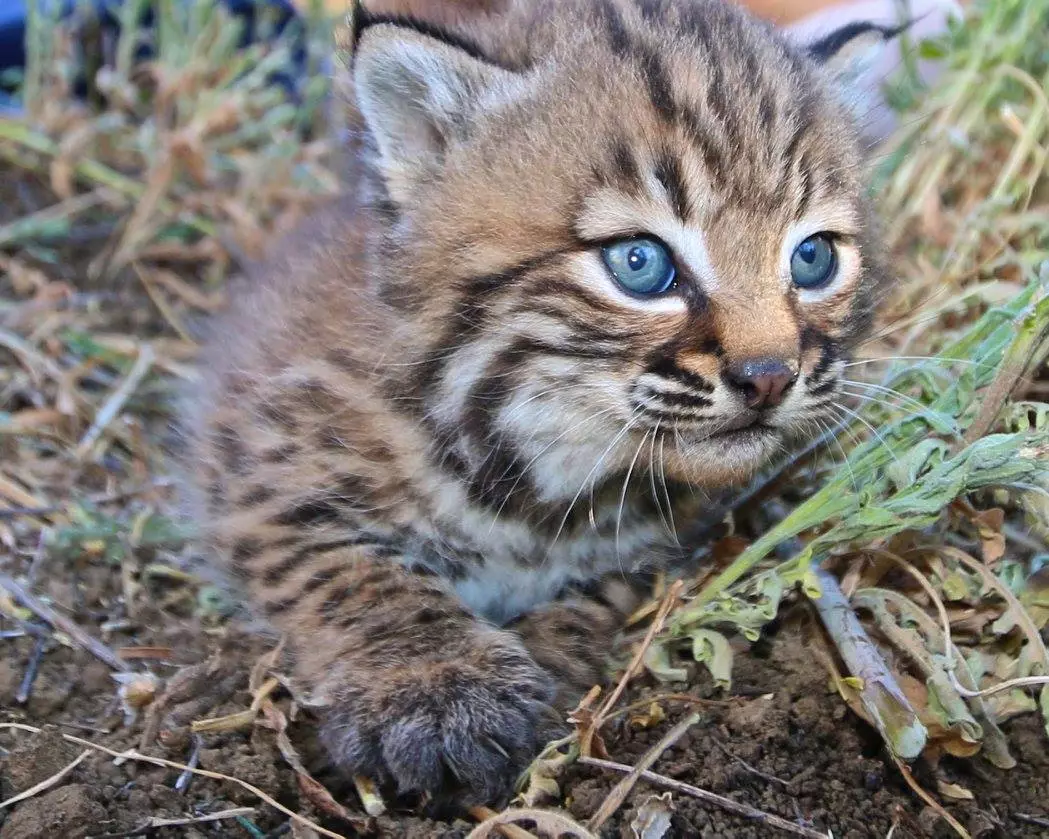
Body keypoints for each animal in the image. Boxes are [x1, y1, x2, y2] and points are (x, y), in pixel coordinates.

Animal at [180, 0, 893, 805]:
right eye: (638, 263)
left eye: (813, 258)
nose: (770, 375)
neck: (537, 451)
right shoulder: (256, 472)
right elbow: (353, 575)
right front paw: (439, 686)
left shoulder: (654, 546)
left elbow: (593, 599)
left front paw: (544, 668)